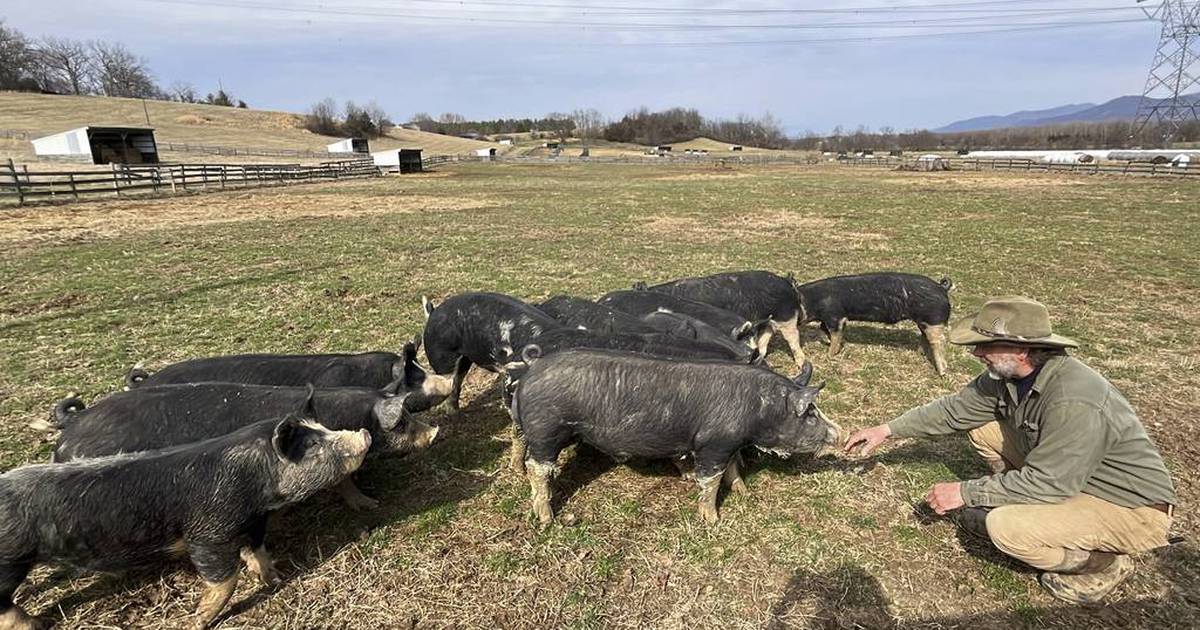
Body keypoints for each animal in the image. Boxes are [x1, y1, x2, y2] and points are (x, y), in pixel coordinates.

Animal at [0, 417, 370, 629]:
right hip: (10, 558)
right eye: (313, 444)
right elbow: (222, 578)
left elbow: (257, 550)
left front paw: (274, 578)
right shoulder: (207, 533)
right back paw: (36, 625)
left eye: (322, 430)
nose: (364, 432)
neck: (255, 482)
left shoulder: (251, 521)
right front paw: (196, 621)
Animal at [510, 350, 840, 524]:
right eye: (810, 413)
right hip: (547, 431)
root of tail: (531, 369)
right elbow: (710, 479)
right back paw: (547, 518)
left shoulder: (730, 443)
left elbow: (732, 468)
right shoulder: (713, 444)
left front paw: (745, 493)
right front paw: (713, 520)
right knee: (538, 468)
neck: (758, 409)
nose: (839, 433)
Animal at [637, 270, 808, 366]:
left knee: (793, 338)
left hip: (786, 318)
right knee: (766, 338)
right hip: (769, 320)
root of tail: (787, 282)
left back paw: (800, 364)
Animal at [794, 272, 953, 374]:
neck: (811, 301)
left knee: (939, 341)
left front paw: (829, 355)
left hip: (934, 320)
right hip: (923, 322)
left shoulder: (835, 316)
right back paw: (920, 353)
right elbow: (823, 329)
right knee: (925, 337)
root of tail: (942, 288)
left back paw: (942, 372)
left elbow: (834, 334)